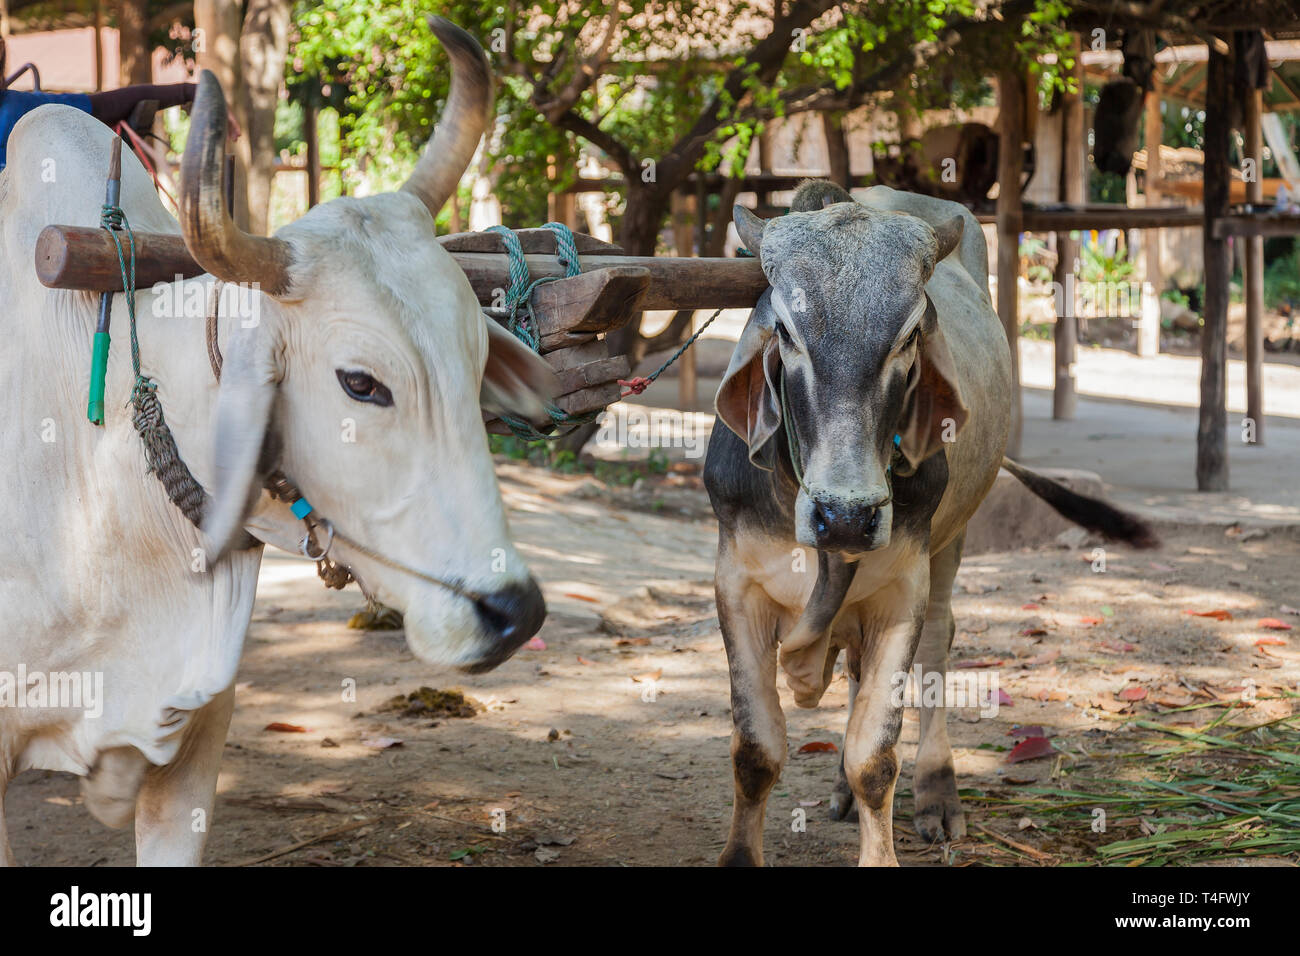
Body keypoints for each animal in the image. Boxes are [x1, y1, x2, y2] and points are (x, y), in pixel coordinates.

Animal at [703, 180, 1156, 867]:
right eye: (785, 329)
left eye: (910, 334)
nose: (846, 516)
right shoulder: (737, 582)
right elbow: (756, 750)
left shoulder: (903, 586)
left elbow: (874, 755)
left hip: (951, 544)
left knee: (939, 645)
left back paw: (938, 793)